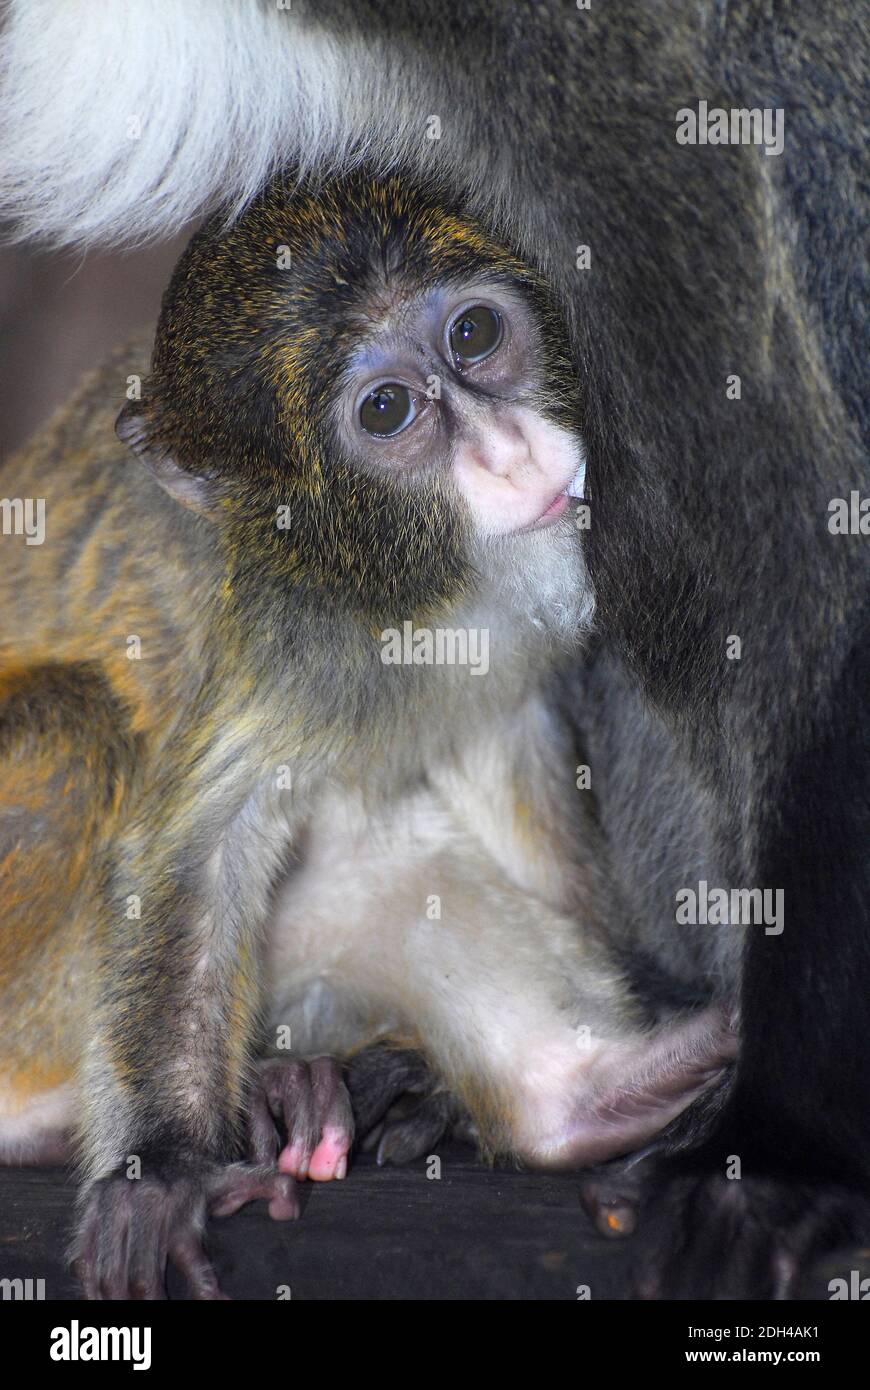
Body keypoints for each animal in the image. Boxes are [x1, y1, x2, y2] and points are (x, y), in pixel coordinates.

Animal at [1, 0, 867, 1299]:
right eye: (389, 412)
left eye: (475, 333)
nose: (512, 451)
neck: (434, 593)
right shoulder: (286, 639)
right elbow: (197, 846)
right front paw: (158, 1169)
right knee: (79, 731)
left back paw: (586, 1089)